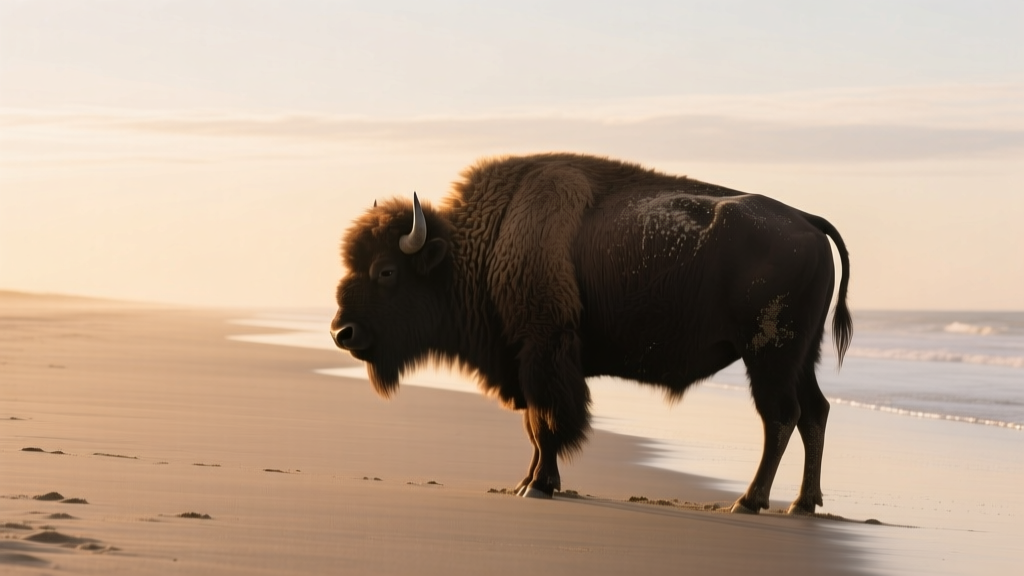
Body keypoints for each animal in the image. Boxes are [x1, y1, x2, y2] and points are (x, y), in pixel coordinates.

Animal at [331, 153, 851, 514]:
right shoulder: (525, 361)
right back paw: (802, 504)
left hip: (769, 354)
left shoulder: (544, 352)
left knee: (780, 417)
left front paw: (538, 486)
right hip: (801, 357)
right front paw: (527, 482)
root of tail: (807, 220)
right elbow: (533, 428)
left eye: (386, 271)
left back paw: (749, 501)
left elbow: (546, 424)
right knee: (815, 413)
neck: (487, 243)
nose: (342, 332)